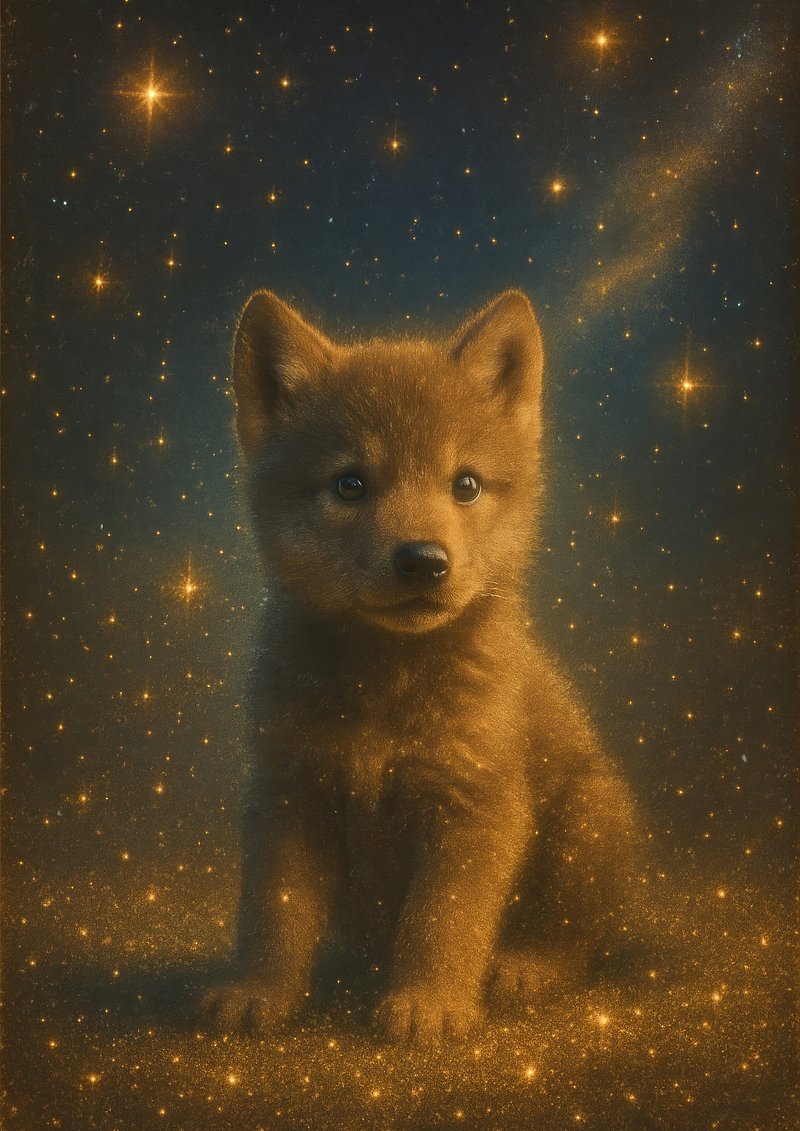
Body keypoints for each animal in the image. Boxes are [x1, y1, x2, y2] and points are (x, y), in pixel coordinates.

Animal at [203, 290, 644, 1043]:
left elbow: (441, 921)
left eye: (465, 484)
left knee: (577, 939)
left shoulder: (473, 806)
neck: (385, 682)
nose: (423, 560)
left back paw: (527, 964)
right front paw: (261, 989)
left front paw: (428, 1001)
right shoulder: (289, 795)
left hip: (590, 813)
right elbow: (273, 914)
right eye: (351, 485)